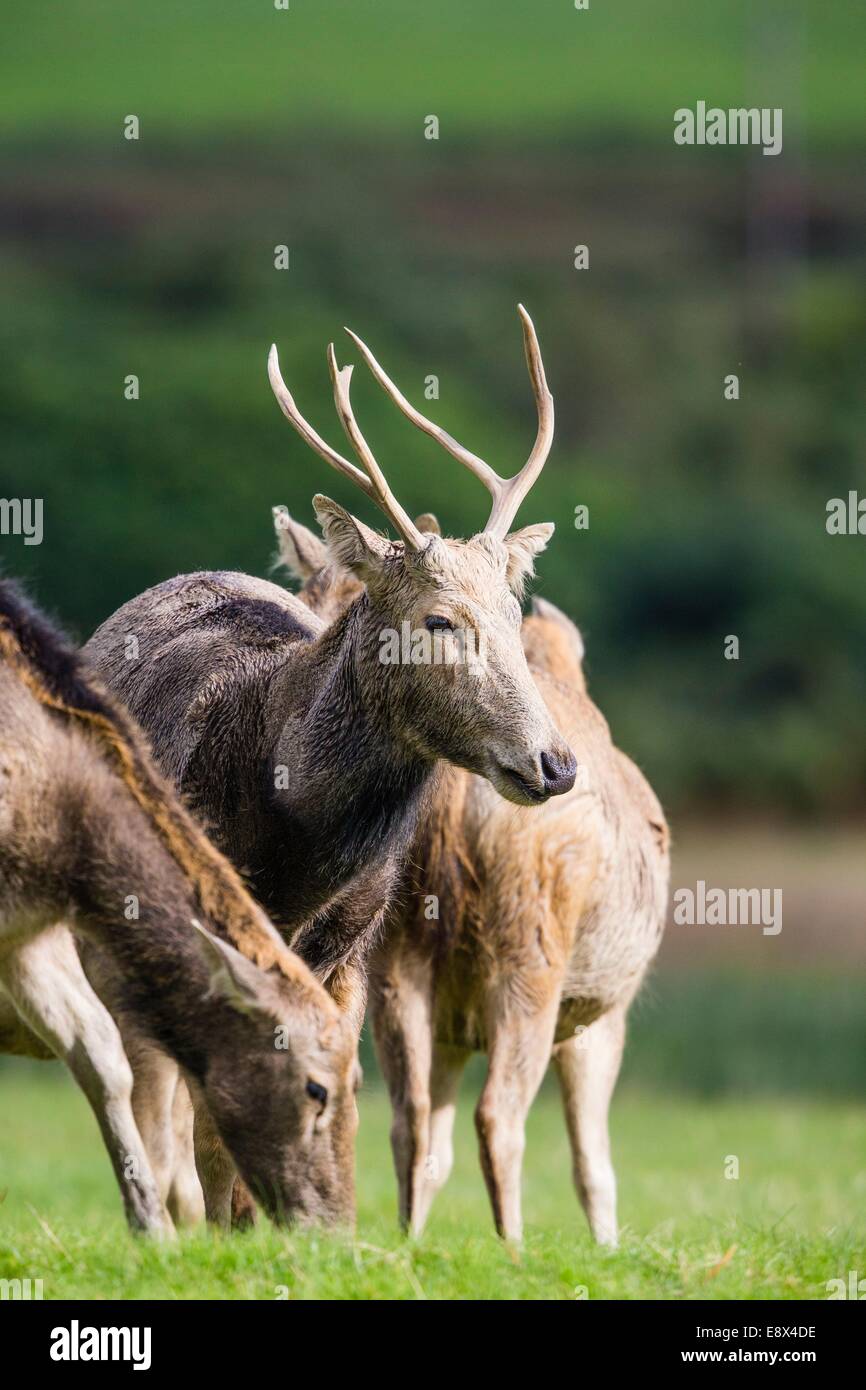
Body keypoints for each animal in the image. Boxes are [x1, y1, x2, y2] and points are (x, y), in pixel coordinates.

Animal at [0, 579, 356, 1235]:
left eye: (357, 1080)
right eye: (315, 1089)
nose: (335, 1227)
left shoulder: (27, 933)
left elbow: (99, 1051)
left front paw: (153, 1231)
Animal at [272, 509, 669, 1249]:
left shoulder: (448, 1018)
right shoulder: (604, 1009)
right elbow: (595, 1166)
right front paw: (607, 1248)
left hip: (399, 956)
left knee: (409, 1120)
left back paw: (410, 1241)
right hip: (534, 945)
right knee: (501, 1118)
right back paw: (512, 1249)